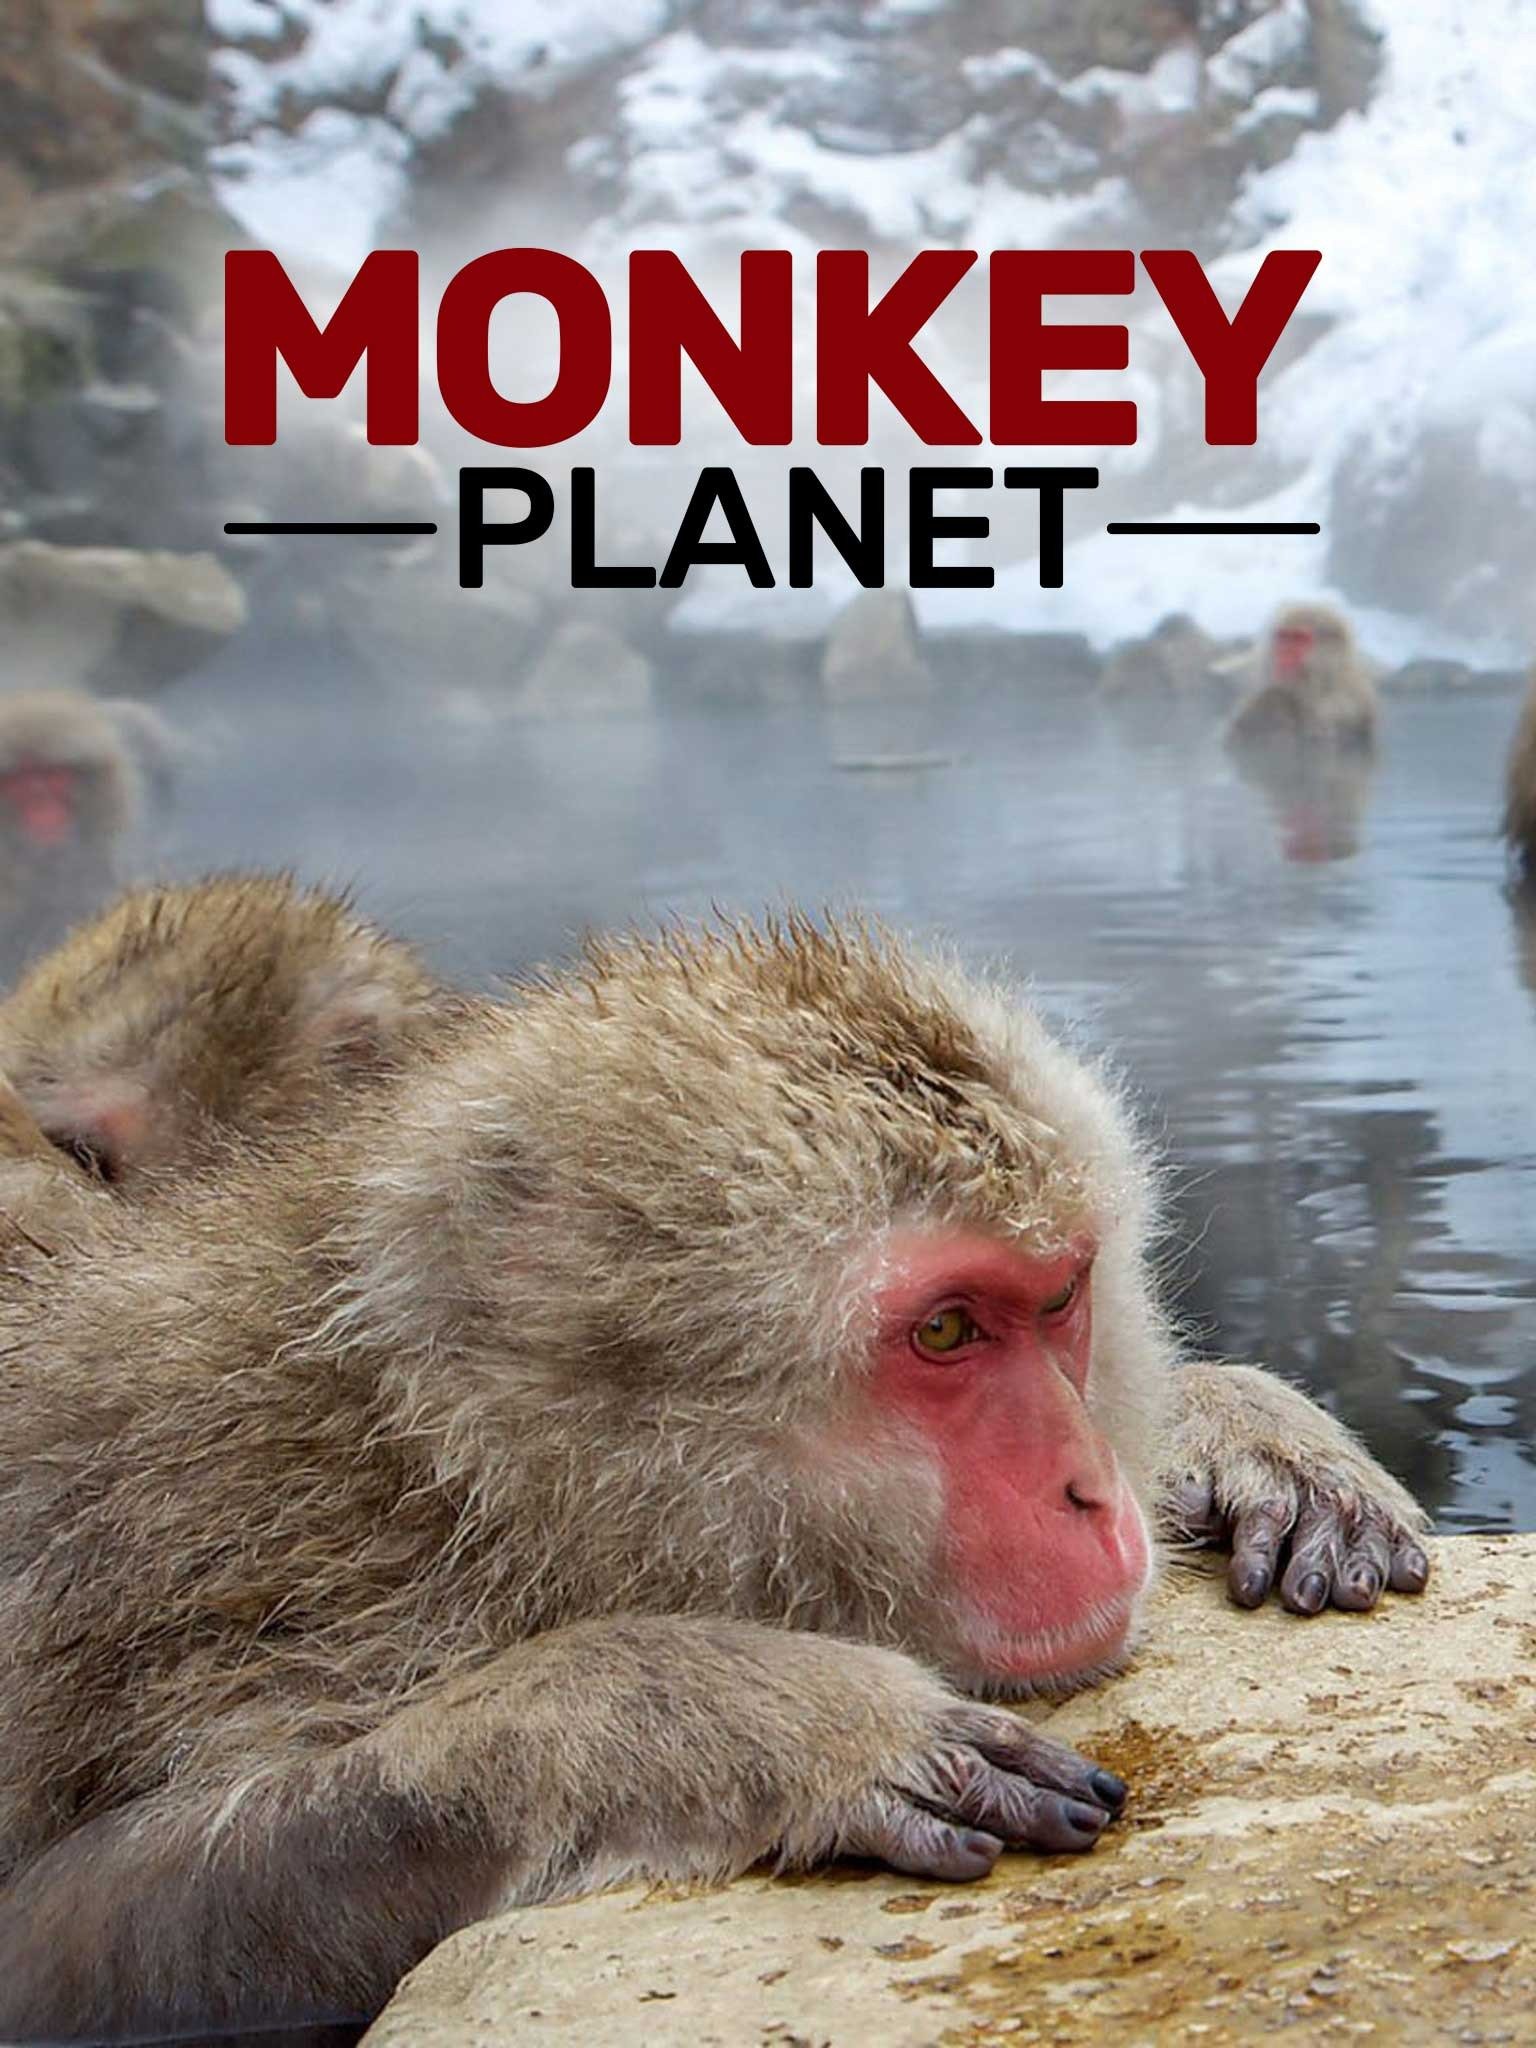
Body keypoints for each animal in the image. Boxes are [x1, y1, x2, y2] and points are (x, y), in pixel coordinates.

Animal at [0, 911, 1430, 2039]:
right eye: (945, 1331)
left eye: (1062, 1296)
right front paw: (726, 1711)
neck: (458, 1478)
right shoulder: (191, 1567)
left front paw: (1241, 1427)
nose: (1088, 1489)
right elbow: (76, 1930)